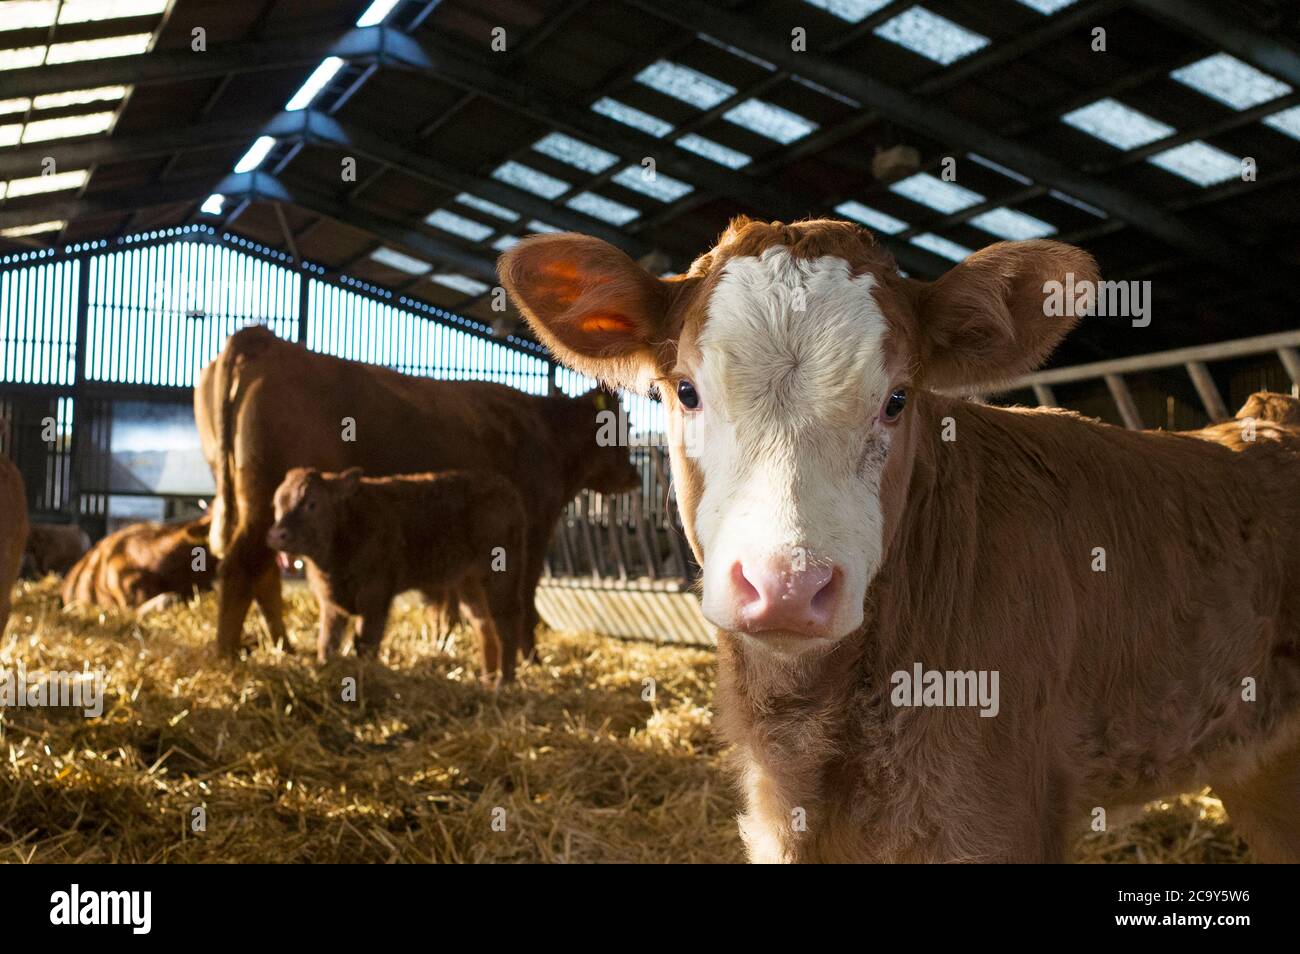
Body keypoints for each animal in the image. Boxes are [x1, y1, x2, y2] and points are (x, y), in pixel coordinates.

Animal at [267, 468, 528, 681]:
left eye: (312, 503)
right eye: (277, 504)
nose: (277, 535)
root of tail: (507, 489)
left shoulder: (375, 597)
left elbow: (366, 642)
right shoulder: (331, 604)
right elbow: (327, 642)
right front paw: (324, 669)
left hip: (501, 576)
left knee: (507, 622)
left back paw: (504, 682)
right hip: (470, 582)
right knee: (484, 625)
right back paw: (487, 681)